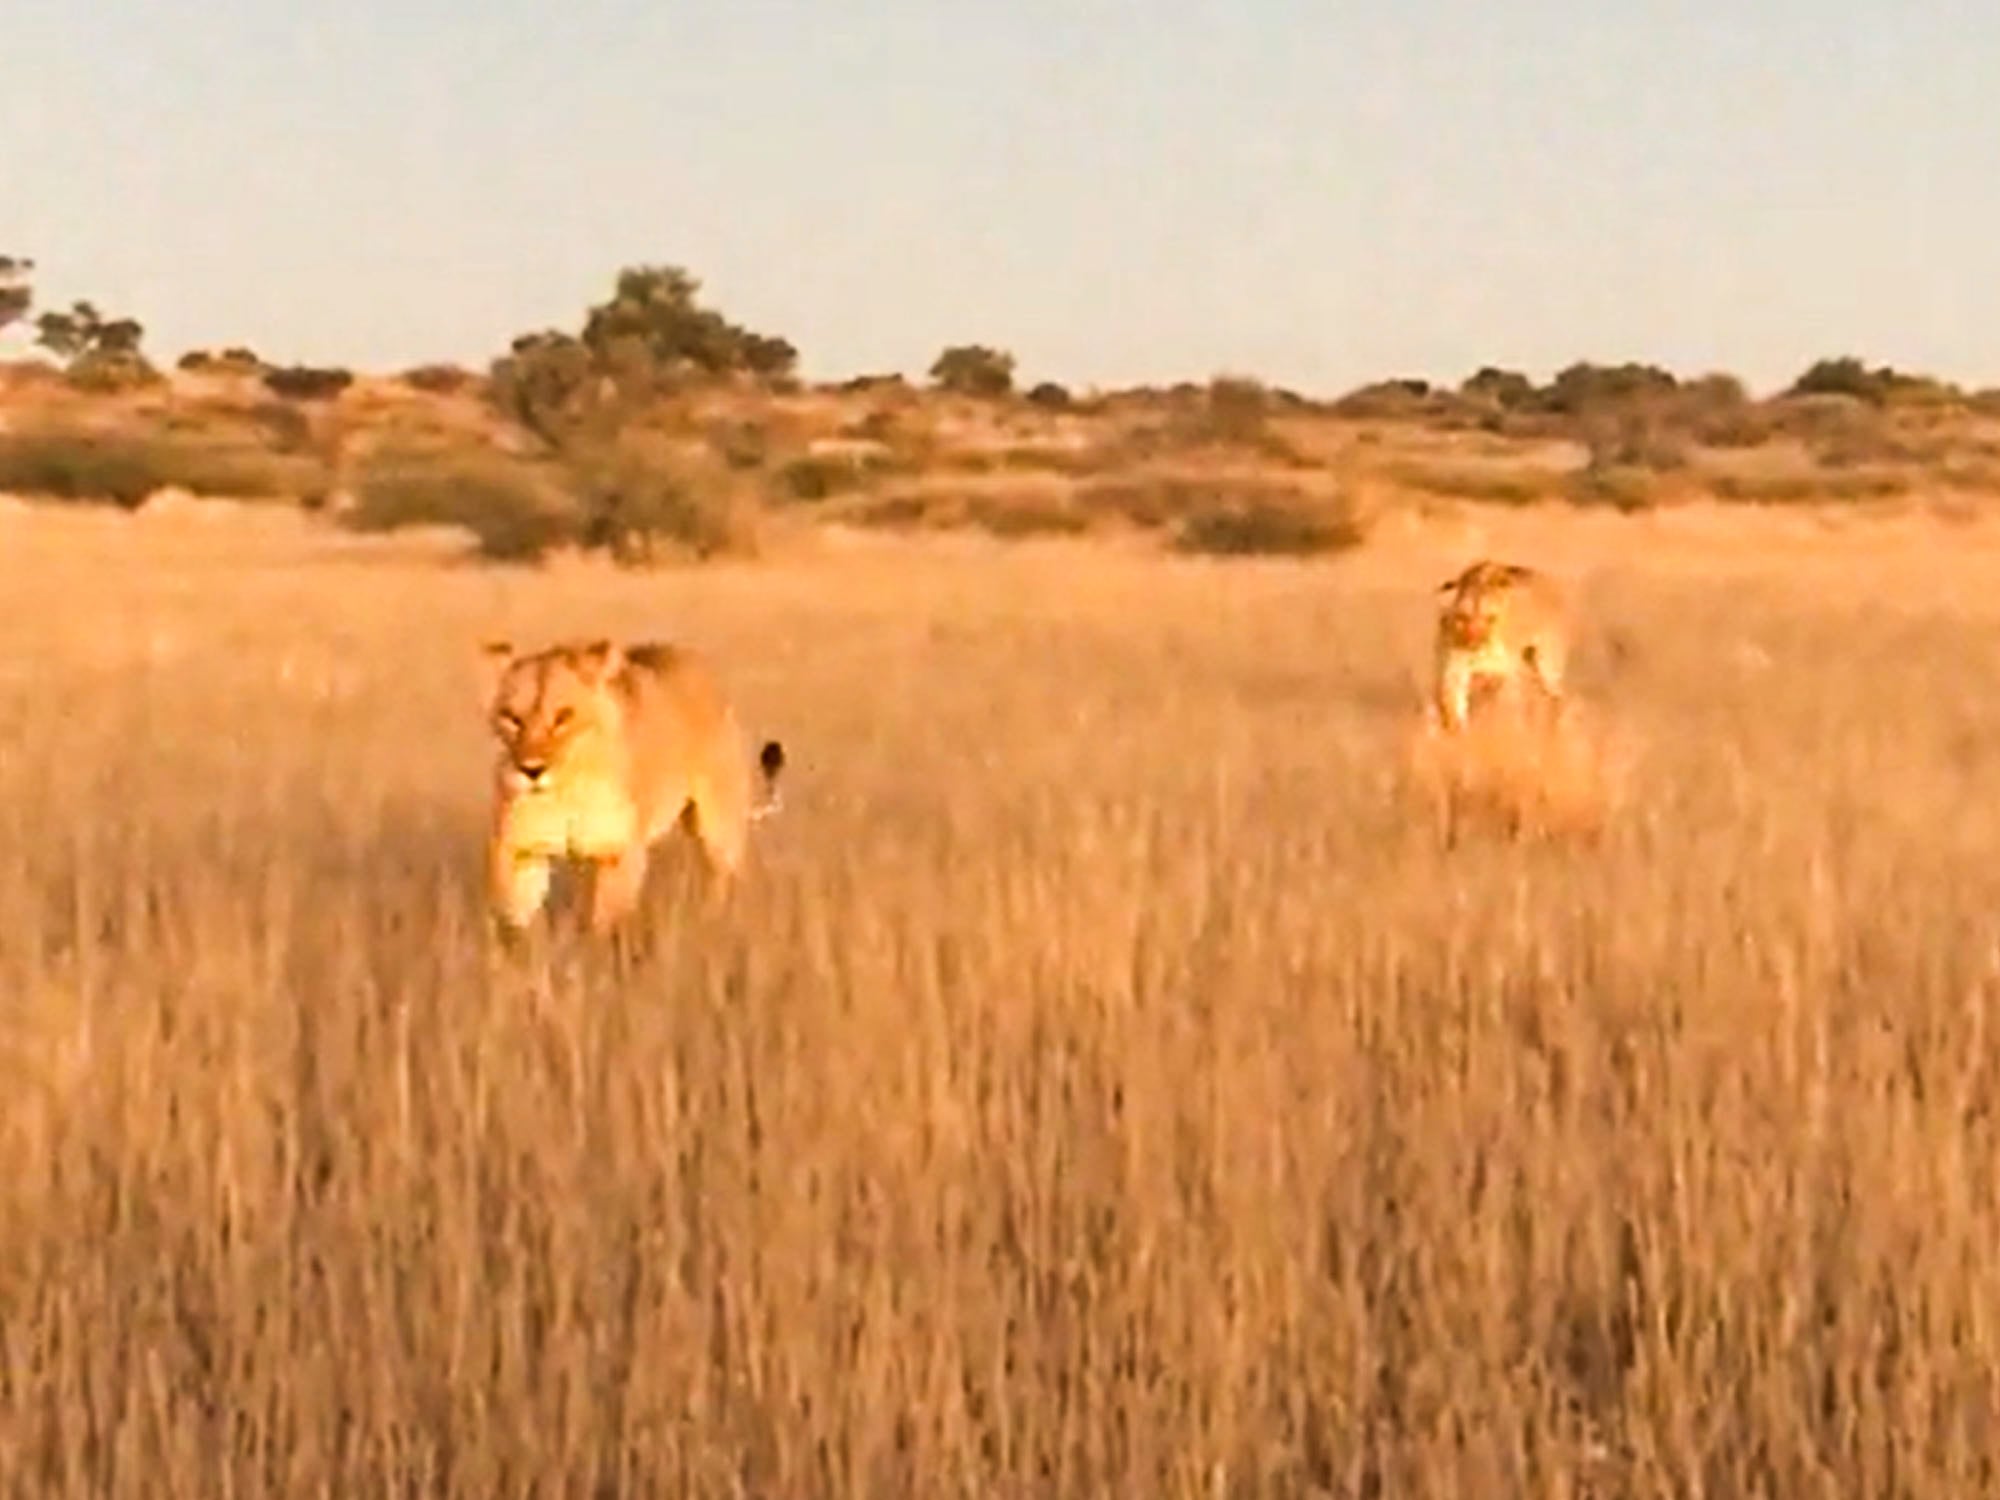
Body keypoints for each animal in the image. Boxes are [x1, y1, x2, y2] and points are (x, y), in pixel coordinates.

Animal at [479, 637, 785, 936]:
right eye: (511, 718)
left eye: (563, 716)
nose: (531, 770)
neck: (565, 789)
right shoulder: (517, 851)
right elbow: (515, 924)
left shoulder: (619, 854)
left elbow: (605, 926)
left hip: (719, 828)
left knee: (722, 877)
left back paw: (712, 926)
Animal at [1432, 558, 1571, 731]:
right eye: (1463, 617)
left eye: (1490, 618)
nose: (1473, 642)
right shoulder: (1455, 669)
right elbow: (1452, 703)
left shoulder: (1504, 673)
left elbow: (1499, 705)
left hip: (1547, 664)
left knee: (1556, 696)